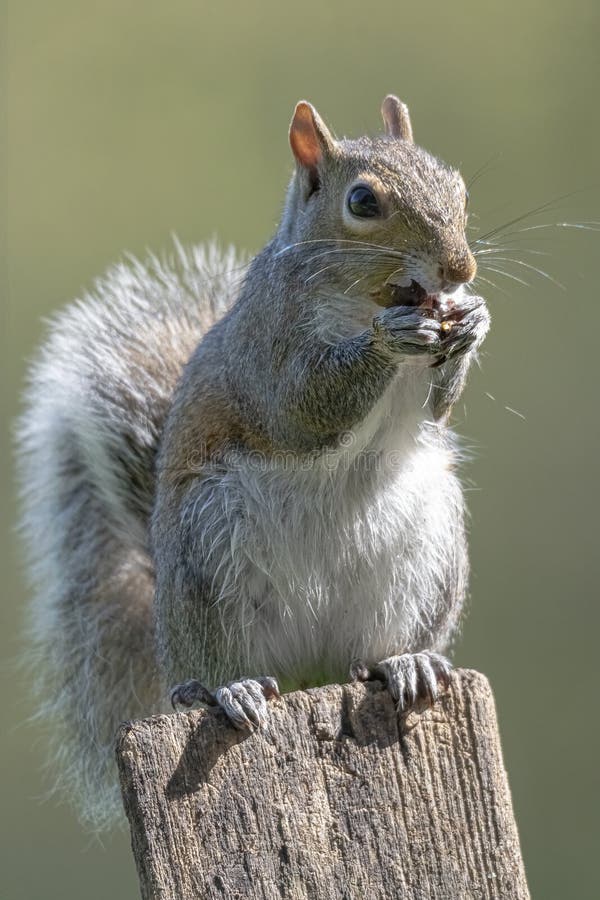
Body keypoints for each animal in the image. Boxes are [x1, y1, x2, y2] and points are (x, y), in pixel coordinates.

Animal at [17, 95, 490, 829]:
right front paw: (390, 339)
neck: (369, 298)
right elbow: (302, 407)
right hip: (209, 548)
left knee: (372, 655)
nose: (459, 270)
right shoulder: (268, 350)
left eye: (458, 183)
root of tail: (307, 669)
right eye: (362, 201)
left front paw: (472, 320)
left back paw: (405, 662)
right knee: (212, 668)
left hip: (428, 551)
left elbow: (436, 409)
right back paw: (227, 689)